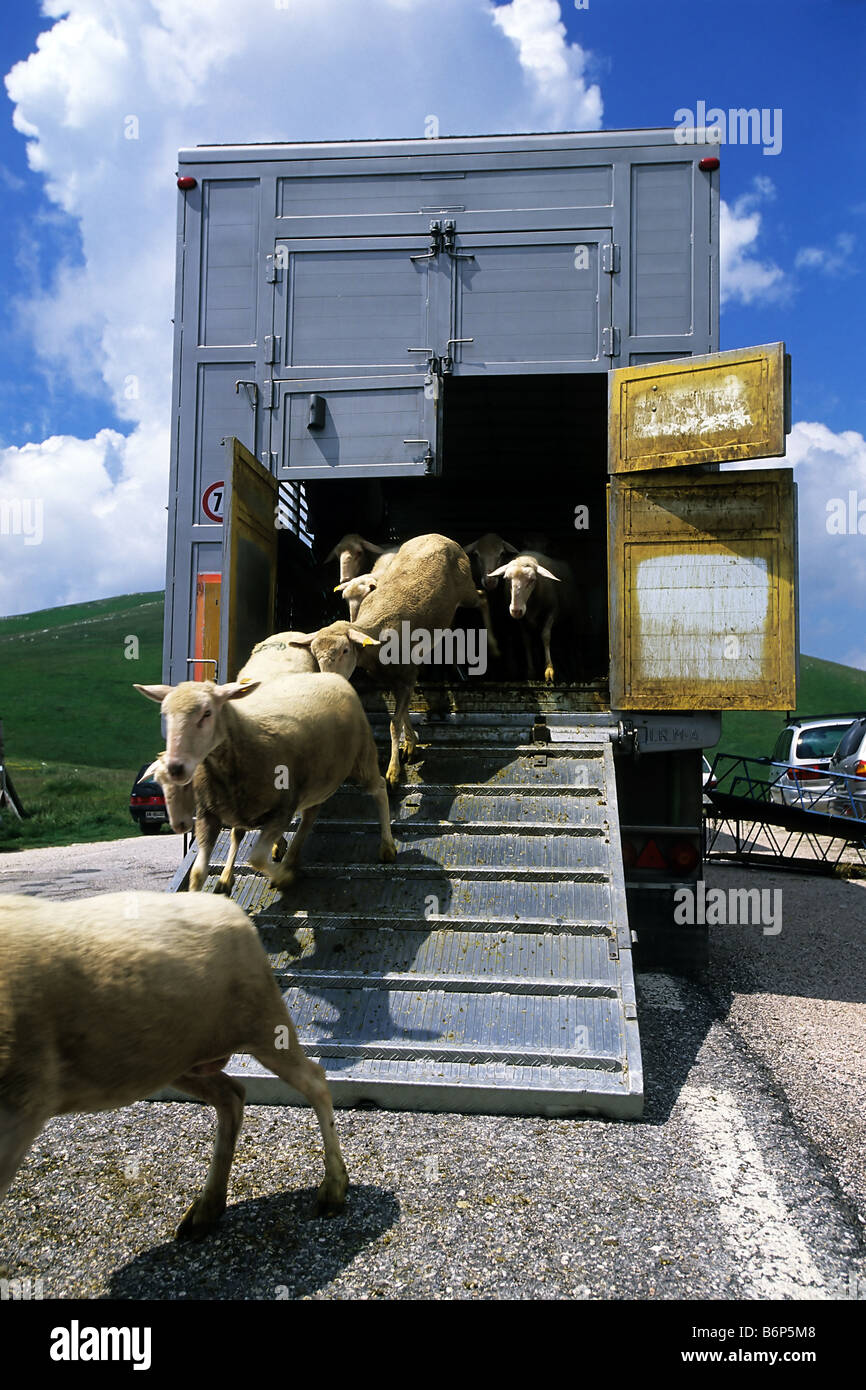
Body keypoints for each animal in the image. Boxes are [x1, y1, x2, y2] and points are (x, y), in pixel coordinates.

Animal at [0, 890, 348, 1239]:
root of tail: (228, 907)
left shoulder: (22, 1106)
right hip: (174, 1058)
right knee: (232, 1095)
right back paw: (207, 1209)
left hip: (262, 1022)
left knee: (314, 1081)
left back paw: (333, 1188)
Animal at [134, 672, 396, 893]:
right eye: (165, 715)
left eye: (207, 713)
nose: (175, 767)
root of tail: (332, 675)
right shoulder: (209, 816)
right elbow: (198, 872)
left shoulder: (282, 809)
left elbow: (257, 858)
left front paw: (283, 878)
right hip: (318, 782)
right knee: (310, 816)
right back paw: (291, 858)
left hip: (362, 757)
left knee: (379, 788)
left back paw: (387, 845)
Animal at [289, 533, 500, 786]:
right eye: (314, 653)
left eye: (345, 650)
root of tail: (438, 536)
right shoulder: (394, 680)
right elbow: (404, 714)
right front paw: (410, 745)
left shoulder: (407, 676)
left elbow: (394, 723)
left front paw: (392, 771)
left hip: (466, 588)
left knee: (483, 598)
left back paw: (493, 647)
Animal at [485, 551, 576, 684]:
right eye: (507, 579)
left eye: (532, 580)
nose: (516, 610)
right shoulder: (523, 620)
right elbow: (526, 640)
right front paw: (531, 672)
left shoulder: (552, 611)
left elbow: (545, 636)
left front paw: (549, 670)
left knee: (569, 641)